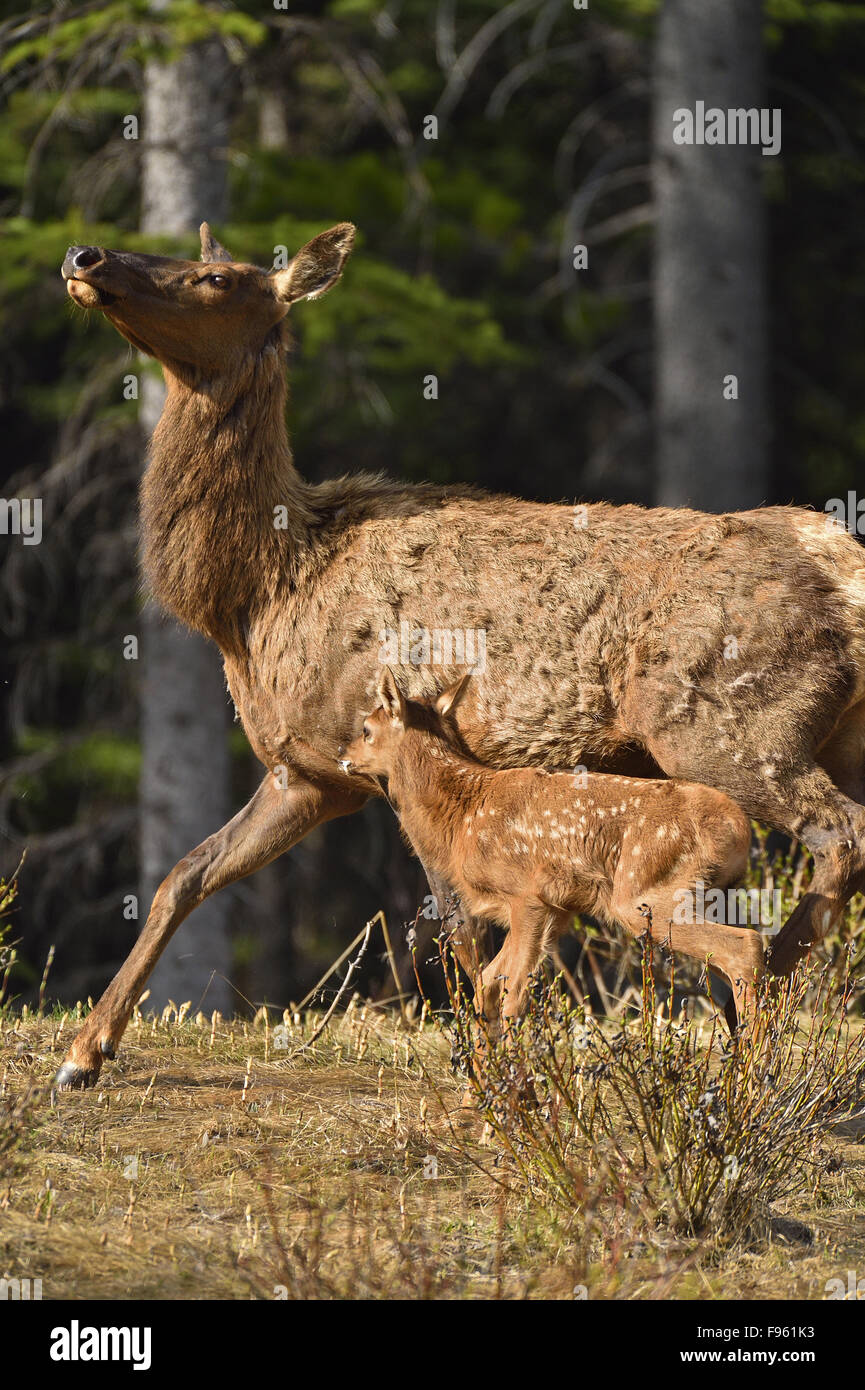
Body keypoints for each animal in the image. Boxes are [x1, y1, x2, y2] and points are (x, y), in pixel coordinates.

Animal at [340, 668, 765, 1052]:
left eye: (366, 728)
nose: (343, 757)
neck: (462, 817)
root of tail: (738, 826)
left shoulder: (528, 895)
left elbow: (512, 995)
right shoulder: (556, 910)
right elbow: (489, 983)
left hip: (642, 892)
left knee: (745, 946)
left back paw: (754, 1064)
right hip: (704, 894)